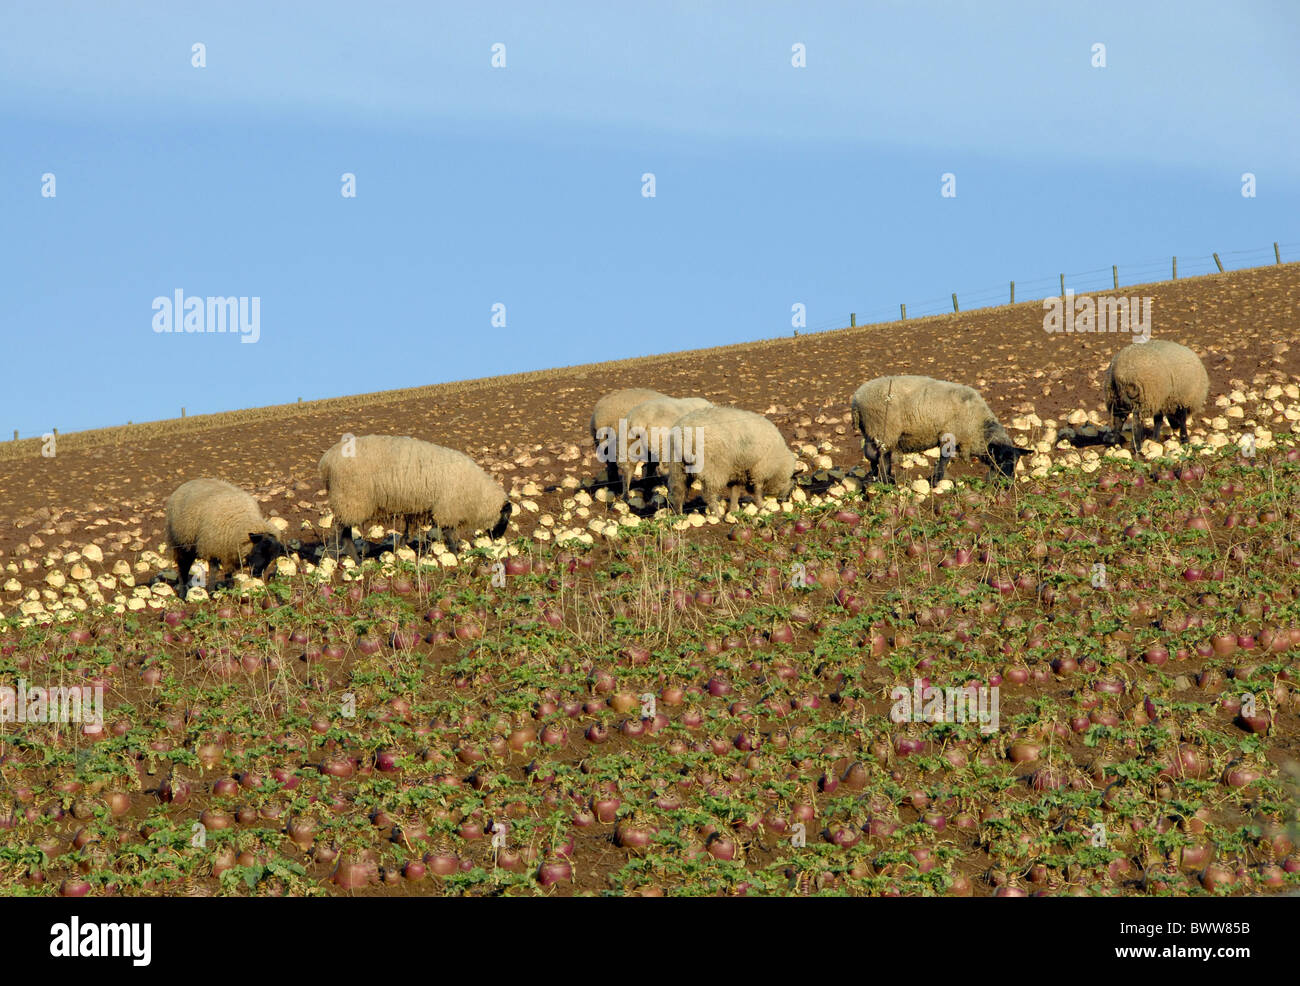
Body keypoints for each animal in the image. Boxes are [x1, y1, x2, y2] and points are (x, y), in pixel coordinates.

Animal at [317, 434, 511, 561]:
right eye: (505, 516)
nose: (498, 538)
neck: (478, 494)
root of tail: (327, 460)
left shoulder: (422, 507)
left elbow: (412, 530)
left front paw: (405, 547)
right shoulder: (447, 508)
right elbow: (448, 533)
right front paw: (456, 554)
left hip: (349, 502)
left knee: (344, 533)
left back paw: (354, 561)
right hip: (349, 498)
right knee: (340, 533)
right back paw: (341, 559)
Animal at [666, 406, 796, 515]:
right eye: (792, 485)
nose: (786, 499)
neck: (780, 465)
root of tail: (683, 434)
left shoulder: (737, 472)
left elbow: (735, 492)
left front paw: (733, 510)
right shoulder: (760, 469)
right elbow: (757, 490)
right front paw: (761, 506)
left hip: (678, 466)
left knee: (678, 490)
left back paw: (679, 514)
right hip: (713, 467)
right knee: (708, 494)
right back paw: (717, 514)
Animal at [850, 375, 1031, 485]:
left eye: (1016, 461)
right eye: (1001, 459)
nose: (1009, 482)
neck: (979, 426)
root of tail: (856, 399)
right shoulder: (949, 433)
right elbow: (944, 458)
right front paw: (938, 480)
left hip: (871, 432)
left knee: (872, 455)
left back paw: (876, 477)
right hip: (885, 430)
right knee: (883, 456)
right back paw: (888, 481)